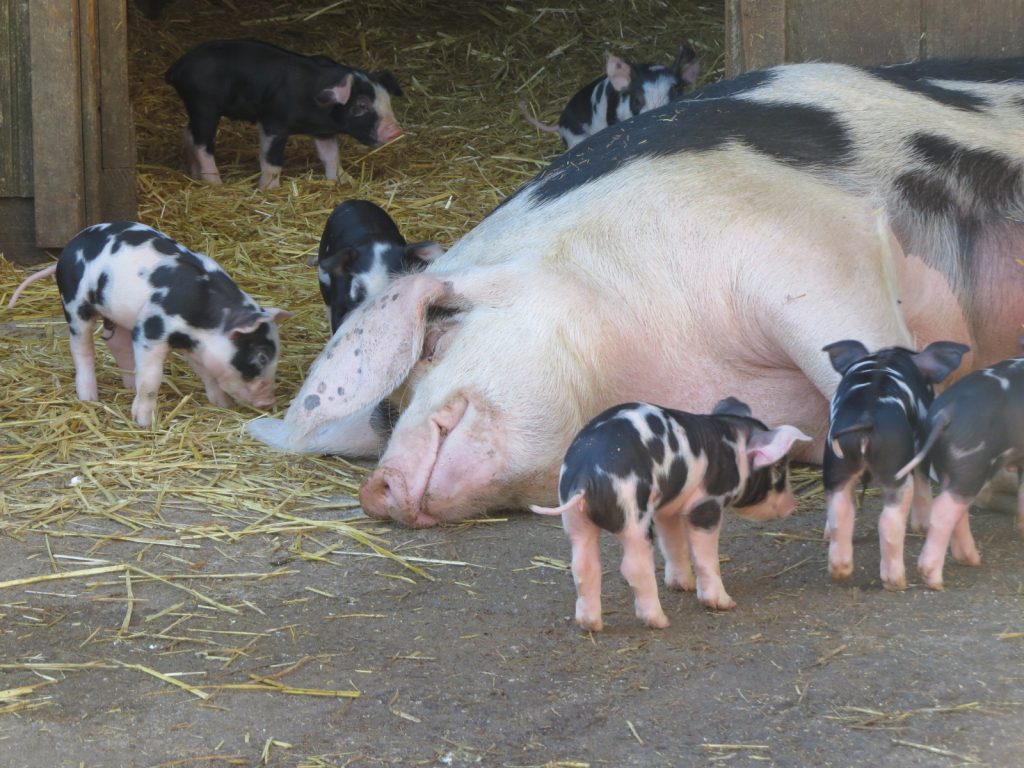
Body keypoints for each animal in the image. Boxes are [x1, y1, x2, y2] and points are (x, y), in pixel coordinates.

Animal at [7, 221, 291, 428]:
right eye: (261, 357)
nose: (268, 402)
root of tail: (66, 250)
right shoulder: (150, 331)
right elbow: (151, 379)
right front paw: (143, 423)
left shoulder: (194, 344)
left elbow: (207, 373)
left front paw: (223, 405)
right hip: (75, 304)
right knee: (82, 348)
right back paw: (89, 398)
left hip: (118, 313)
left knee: (116, 342)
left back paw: (127, 385)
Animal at [164, 38, 403, 189]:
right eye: (361, 105)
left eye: (388, 100)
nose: (397, 131)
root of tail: (178, 66)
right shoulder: (273, 123)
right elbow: (272, 160)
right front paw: (270, 190)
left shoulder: (323, 131)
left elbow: (331, 156)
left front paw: (346, 182)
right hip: (203, 105)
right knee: (202, 144)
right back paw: (216, 183)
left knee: (189, 135)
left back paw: (196, 176)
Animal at [530, 398, 810, 631]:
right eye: (778, 468)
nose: (792, 505)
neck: (733, 444)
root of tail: (586, 478)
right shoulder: (706, 505)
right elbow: (706, 558)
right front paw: (723, 604)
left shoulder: (668, 508)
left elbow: (674, 545)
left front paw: (682, 585)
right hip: (633, 515)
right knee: (634, 567)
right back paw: (660, 621)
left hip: (576, 520)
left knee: (583, 566)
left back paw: (591, 625)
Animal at [821, 340, 969, 590]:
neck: (887, 356)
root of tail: (866, 419)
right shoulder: (921, 444)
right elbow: (923, 485)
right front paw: (923, 527)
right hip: (897, 469)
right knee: (889, 521)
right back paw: (897, 582)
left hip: (836, 465)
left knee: (841, 513)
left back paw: (840, 571)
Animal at [896, 355, 1024, 590]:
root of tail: (946, 412)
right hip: (972, 464)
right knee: (943, 510)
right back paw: (936, 581)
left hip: (951, 467)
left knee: (958, 509)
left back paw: (971, 560)